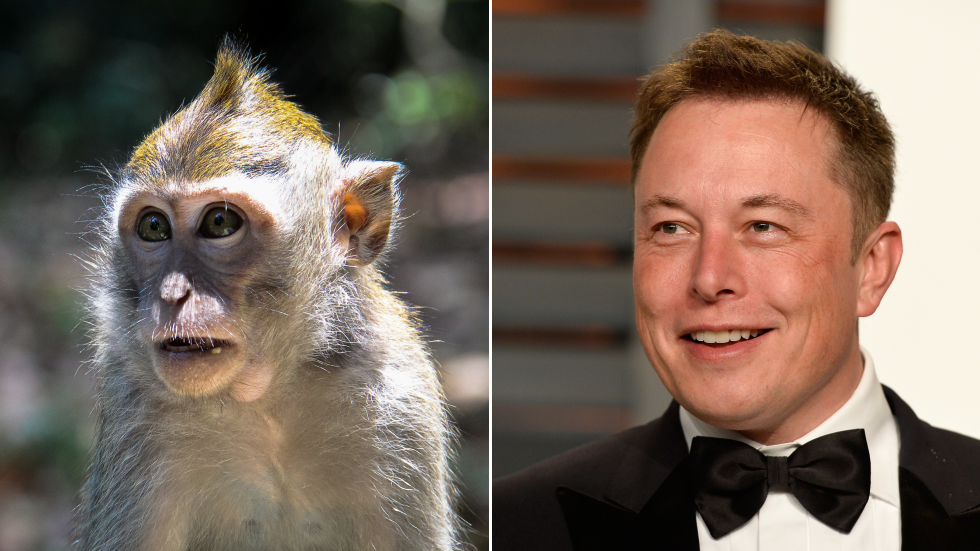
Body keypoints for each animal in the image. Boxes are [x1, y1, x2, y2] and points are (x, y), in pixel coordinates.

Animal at [74, 40, 457, 551]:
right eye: (154, 226)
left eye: (220, 222)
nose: (173, 294)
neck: (266, 398)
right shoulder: (135, 408)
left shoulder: (401, 402)